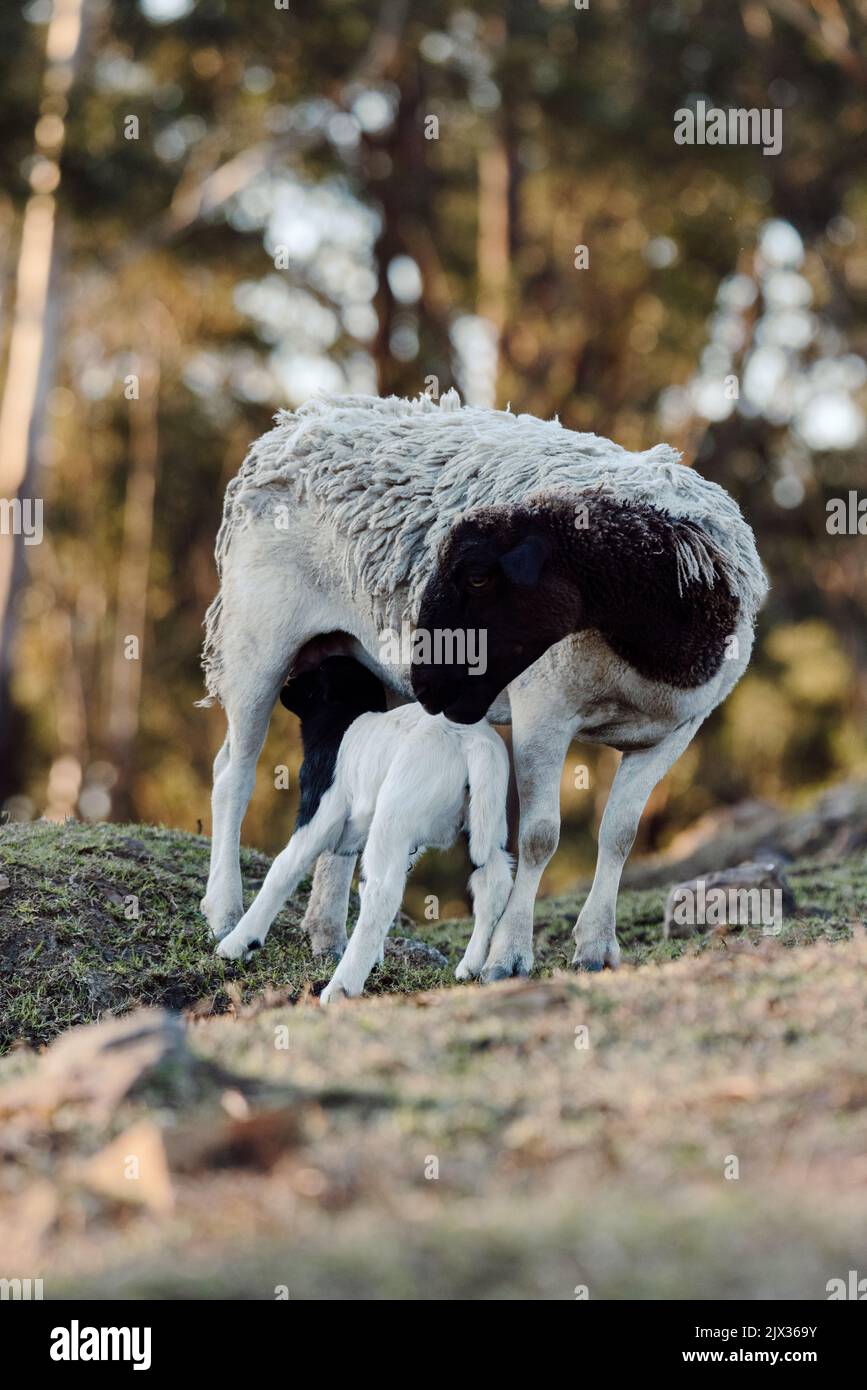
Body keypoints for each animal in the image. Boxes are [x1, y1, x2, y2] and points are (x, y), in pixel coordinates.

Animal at [215, 655, 514, 1001]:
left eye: (319, 670)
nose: (287, 682)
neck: (339, 723)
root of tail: (472, 743)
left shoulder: (320, 810)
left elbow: (284, 868)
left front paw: (239, 942)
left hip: (394, 817)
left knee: (383, 893)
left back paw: (341, 987)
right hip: (488, 819)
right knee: (493, 882)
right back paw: (471, 966)